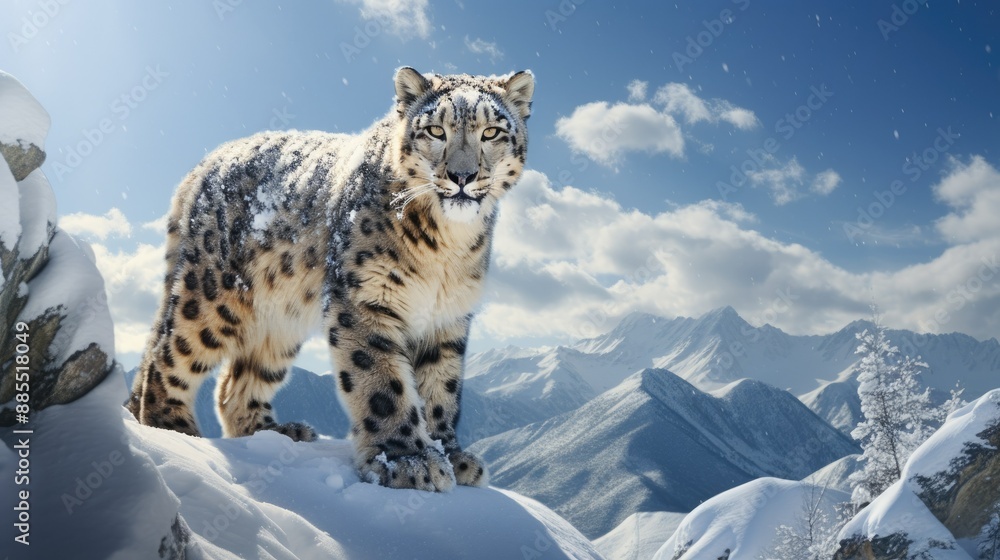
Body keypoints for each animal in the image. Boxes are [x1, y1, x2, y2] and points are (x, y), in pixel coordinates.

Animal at [126, 67, 534, 491]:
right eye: (435, 130)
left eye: (491, 132)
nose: (462, 175)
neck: (446, 249)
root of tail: (204, 165)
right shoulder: (367, 298)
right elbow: (382, 383)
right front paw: (408, 460)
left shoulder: (448, 317)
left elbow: (442, 388)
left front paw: (451, 454)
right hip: (213, 296)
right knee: (167, 353)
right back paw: (175, 430)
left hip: (280, 322)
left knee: (233, 385)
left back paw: (275, 431)